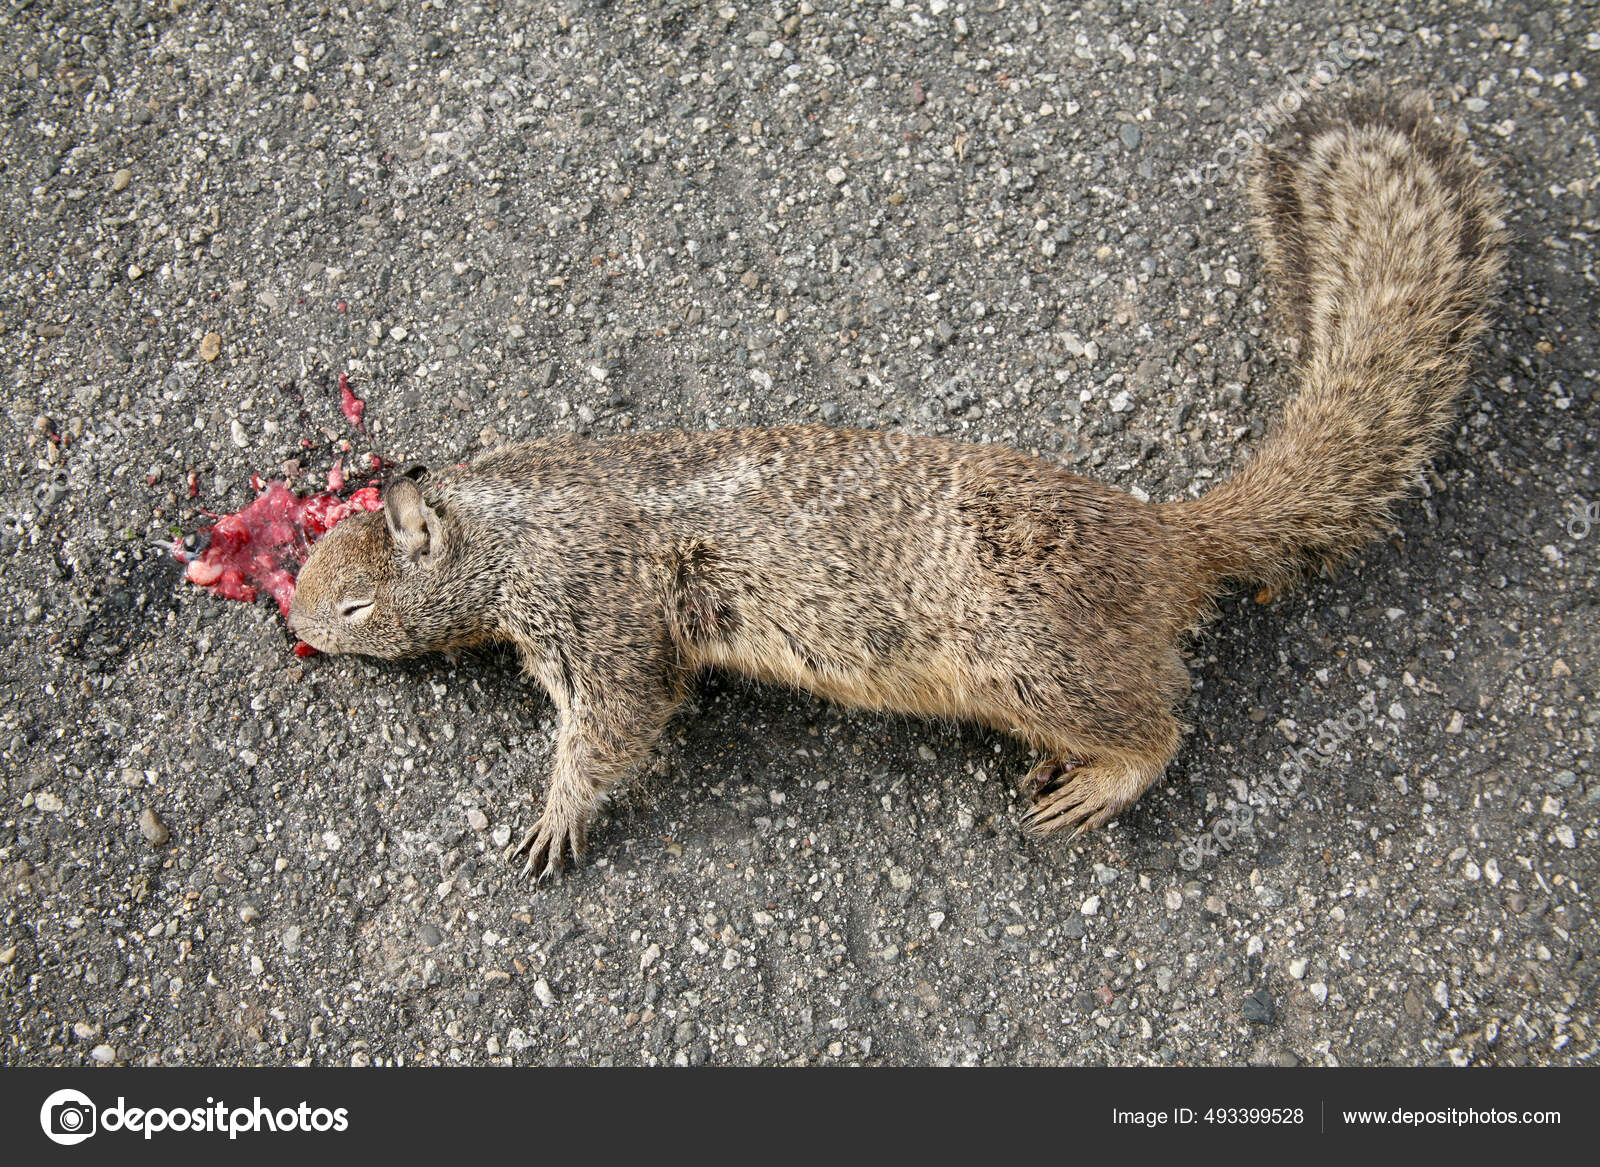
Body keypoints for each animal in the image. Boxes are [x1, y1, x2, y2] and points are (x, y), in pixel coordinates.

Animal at [287, 90, 1506, 879]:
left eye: (353, 603)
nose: (293, 628)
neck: (509, 519)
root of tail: (1167, 543)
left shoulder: (599, 609)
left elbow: (618, 720)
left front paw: (555, 817)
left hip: (1038, 659)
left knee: (1159, 728)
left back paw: (1106, 780)